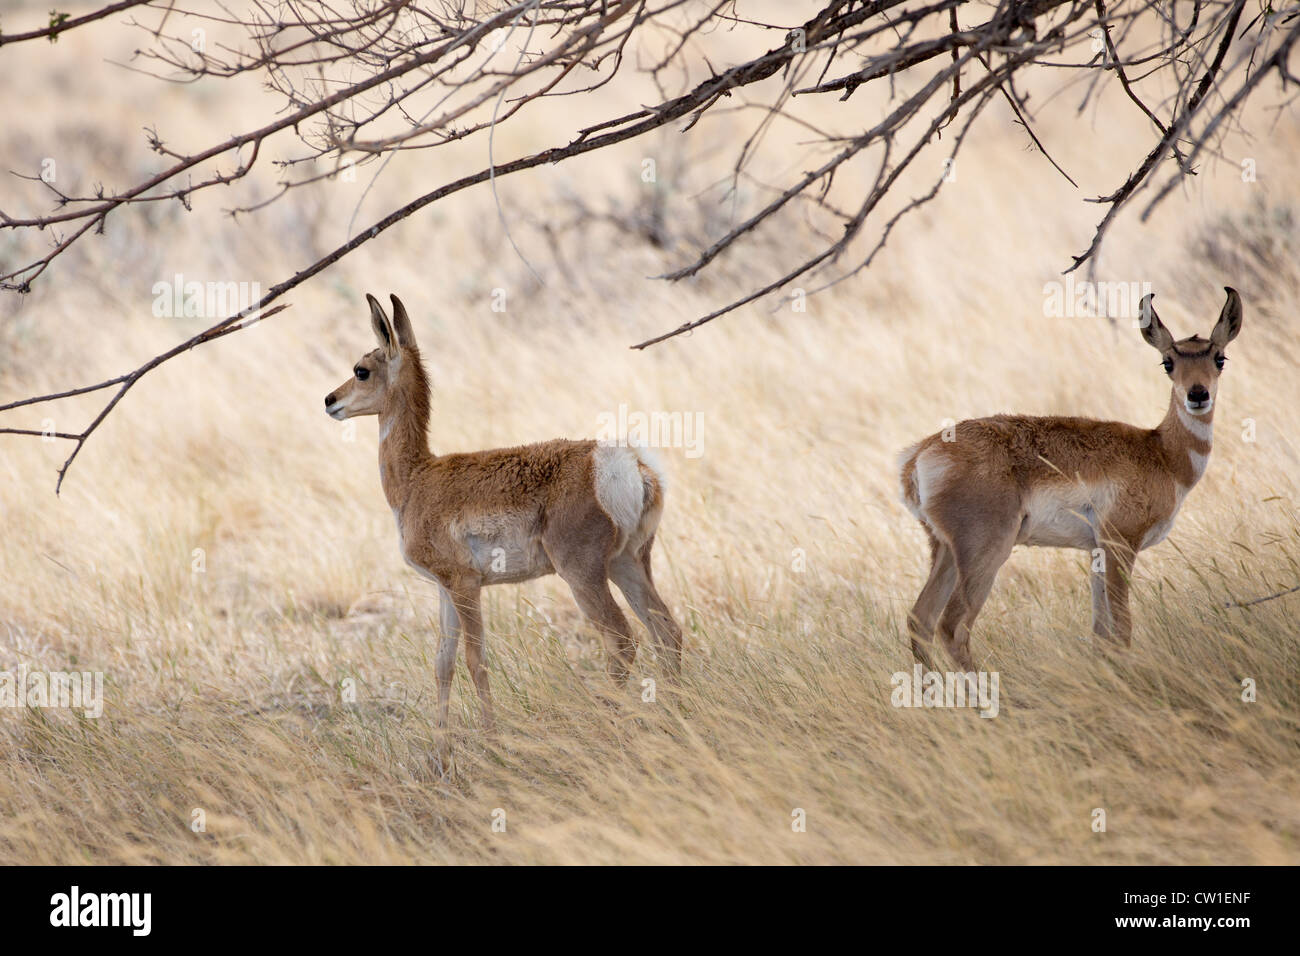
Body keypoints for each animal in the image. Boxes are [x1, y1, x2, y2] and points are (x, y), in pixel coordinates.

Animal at [325, 294, 682, 763]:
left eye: (361, 369)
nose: (329, 400)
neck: (419, 476)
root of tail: (625, 462)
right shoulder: (444, 588)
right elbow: (443, 663)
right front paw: (440, 755)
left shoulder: (465, 585)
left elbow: (476, 660)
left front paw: (490, 744)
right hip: (628, 564)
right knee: (666, 632)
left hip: (583, 575)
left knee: (622, 641)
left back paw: (609, 726)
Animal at [898, 287, 1243, 669]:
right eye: (1168, 362)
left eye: (1220, 358)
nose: (1198, 394)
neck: (1161, 452)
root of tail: (920, 453)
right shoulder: (1120, 545)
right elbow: (1122, 628)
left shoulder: (1096, 552)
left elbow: (1102, 634)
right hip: (985, 552)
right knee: (953, 625)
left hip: (944, 550)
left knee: (920, 619)